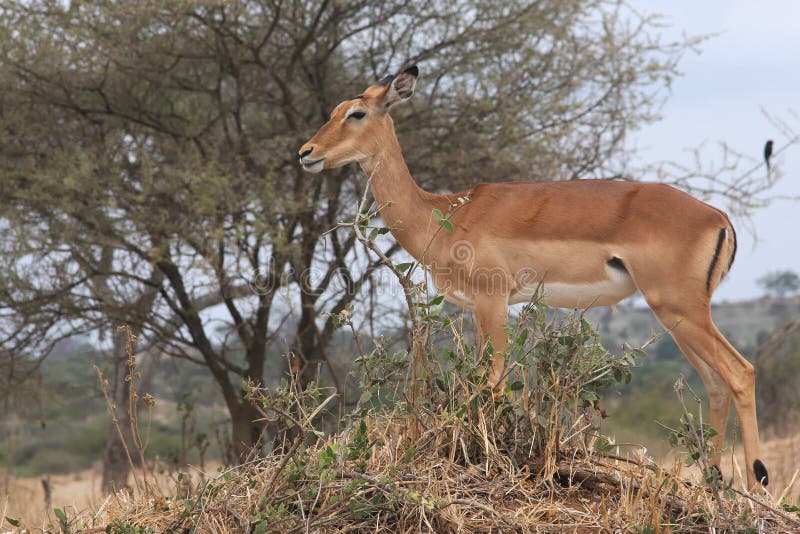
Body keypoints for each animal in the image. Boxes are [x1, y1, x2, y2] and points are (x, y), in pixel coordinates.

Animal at [299, 66, 768, 489]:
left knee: (741, 372)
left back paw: (756, 483)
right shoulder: (477, 308)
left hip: (680, 308)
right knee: (716, 383)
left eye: (357, 112)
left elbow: (493, 383)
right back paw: (714, 485)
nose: (306, 152)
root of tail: (719, 217)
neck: (447, 214)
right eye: (335, 109)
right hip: (679, 318)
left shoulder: (492, 300)